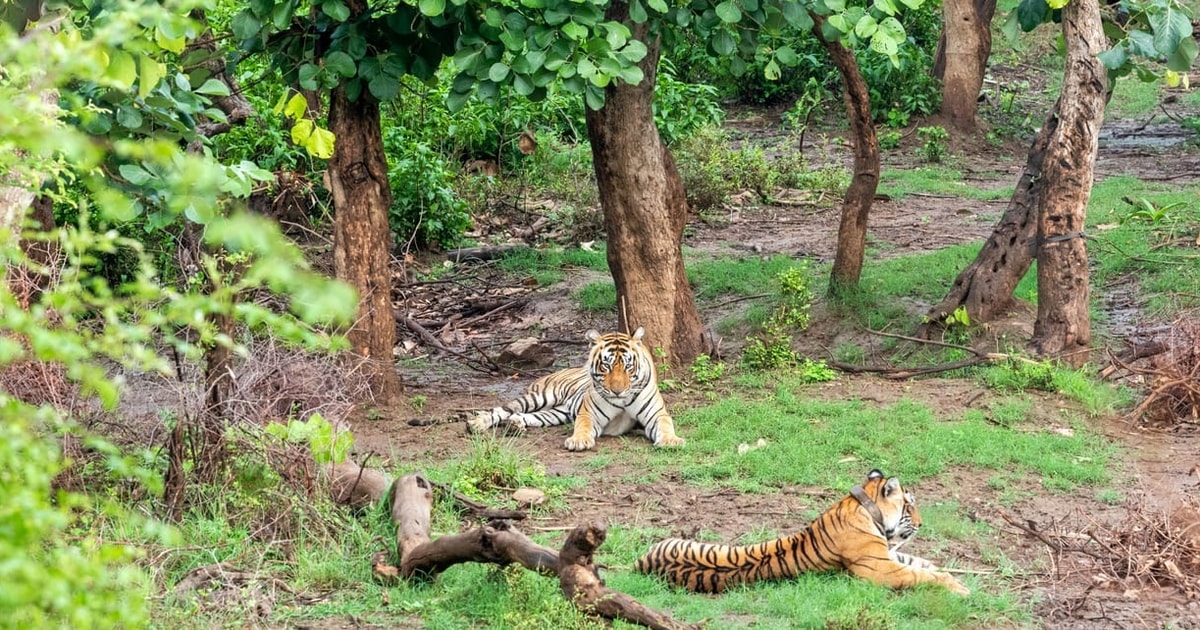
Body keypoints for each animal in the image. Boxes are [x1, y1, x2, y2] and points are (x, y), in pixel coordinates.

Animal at [467, 327, 685, 452]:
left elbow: (666, 425)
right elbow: (583, 427)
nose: (617, 391)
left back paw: (515, 425)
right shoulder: (588, 414)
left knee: (525, 416)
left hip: (557, 413)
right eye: (606, 365)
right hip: (538, 397)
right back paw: (477, 424)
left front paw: (671, 440)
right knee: (501, 410)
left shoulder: (657, 414)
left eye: (628, 366)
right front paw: (579, 441)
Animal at [634, 469, 969, 595]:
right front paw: (959, 587)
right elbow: (920, 574)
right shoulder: (881, 568)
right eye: (910, 505)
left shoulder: (888, 555)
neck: (862, 506)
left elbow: (922, 563)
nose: (922, 524)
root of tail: (640, 563)